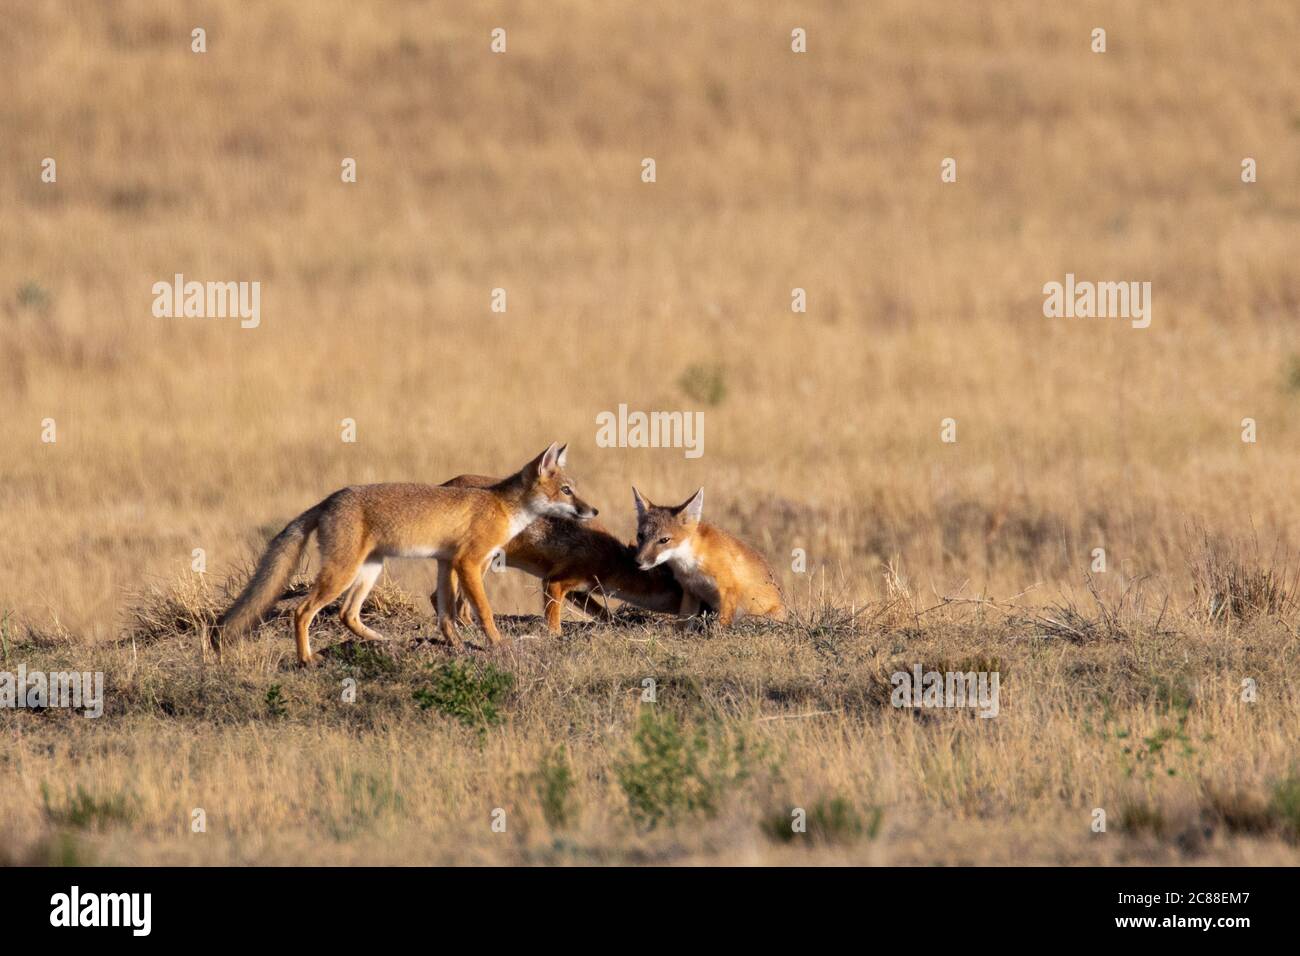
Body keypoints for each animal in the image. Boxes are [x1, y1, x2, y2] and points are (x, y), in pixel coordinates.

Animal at [215, 442, 593, 665]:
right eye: (567, 491)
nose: (594, 510)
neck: (503, 507)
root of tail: (330, 498)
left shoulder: (446, 562)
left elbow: (445, 614)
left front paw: (457, 646)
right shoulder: (469, 562)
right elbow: (483, 612)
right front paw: (497, 645)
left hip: (370, 569)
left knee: (347, 615)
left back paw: (383, 642)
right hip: (342, 572)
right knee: (302, 611)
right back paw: (307, 659)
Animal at [436, 473, 686, 634]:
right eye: (682, 590)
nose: (698, 614)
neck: (611, 560)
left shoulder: (579, 591)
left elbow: (604, 614)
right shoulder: (554, 582)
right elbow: (554, 621)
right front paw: (555, 636)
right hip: (479, 564)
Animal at [631, 486, 786, 627]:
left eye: (664, 540)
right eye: (640, 536)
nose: (638, 562)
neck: (691, 567)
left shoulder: (728, 590)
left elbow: (720, 626)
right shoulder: (691, 591)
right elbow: (682, 625)